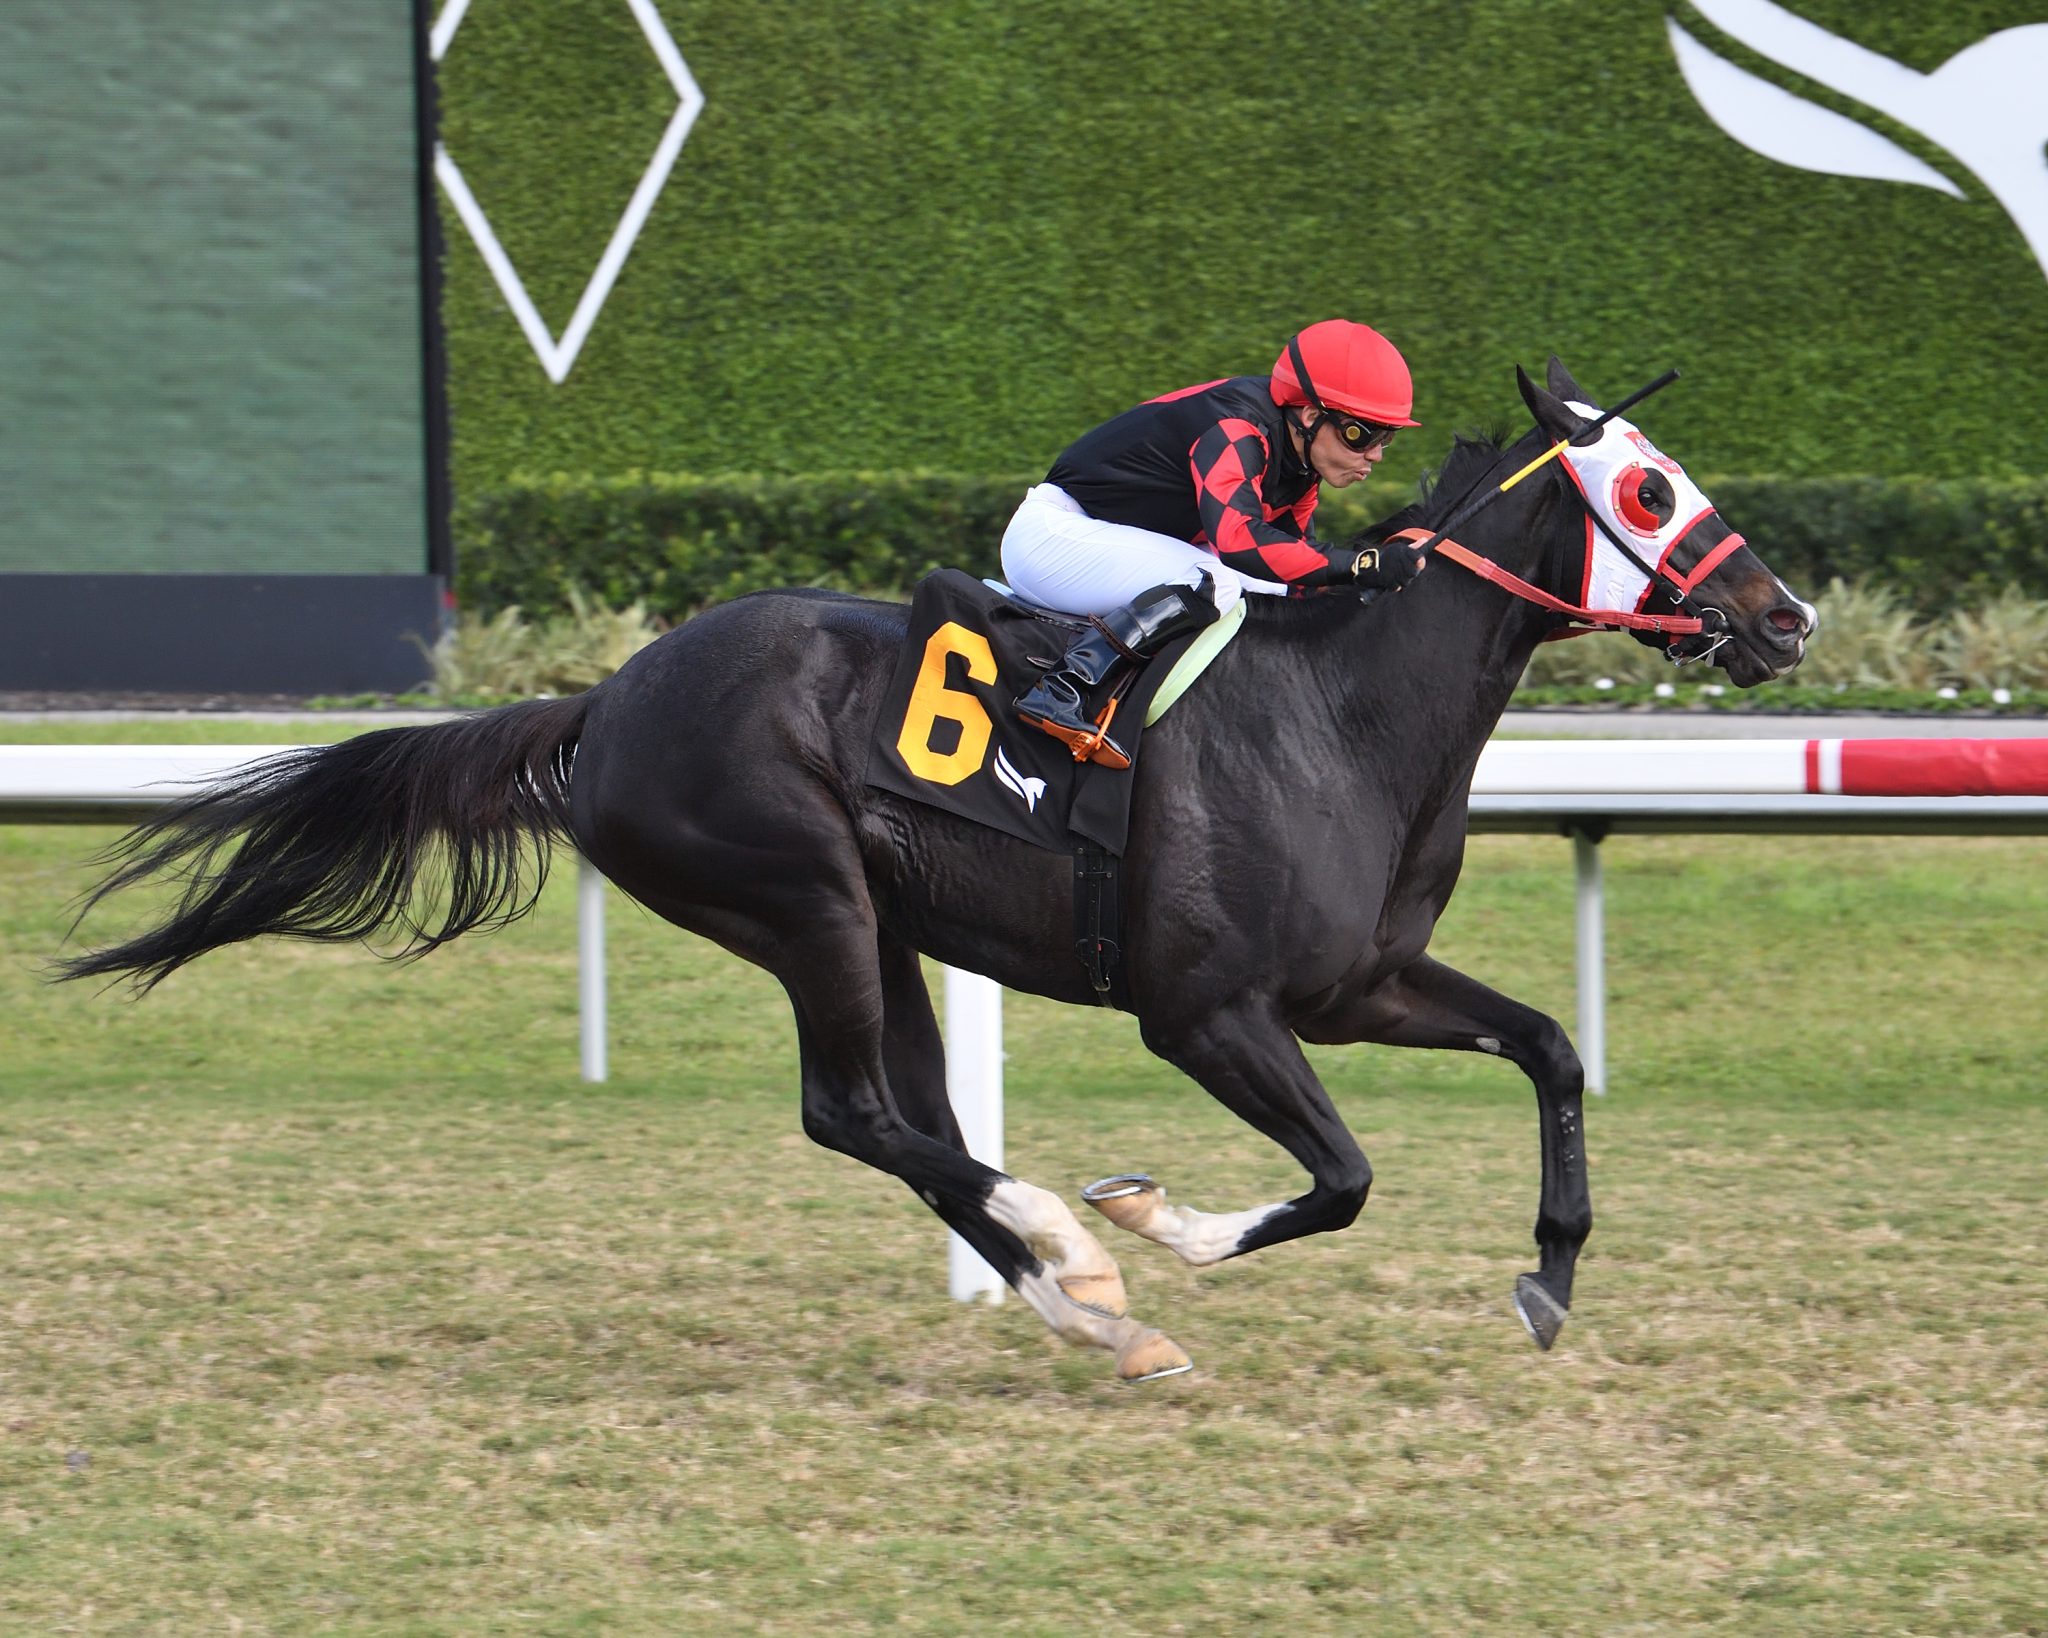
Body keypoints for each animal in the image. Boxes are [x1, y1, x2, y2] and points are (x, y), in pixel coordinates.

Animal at [62, 359, 1815, 1382]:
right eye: (1649, 487)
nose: (1787, 617)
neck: (1341, 711)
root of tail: (608, 698)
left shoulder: (1359, 981)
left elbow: (1551, 1047)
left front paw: (1552, 1272)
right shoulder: (1206, 1010)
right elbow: (1343, 1176)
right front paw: (1151, 1216)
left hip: (882, 926)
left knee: (909, 1122)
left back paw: (1079, 1304)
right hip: (805, 900)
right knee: (856, 1114)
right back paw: (1079, 1252)